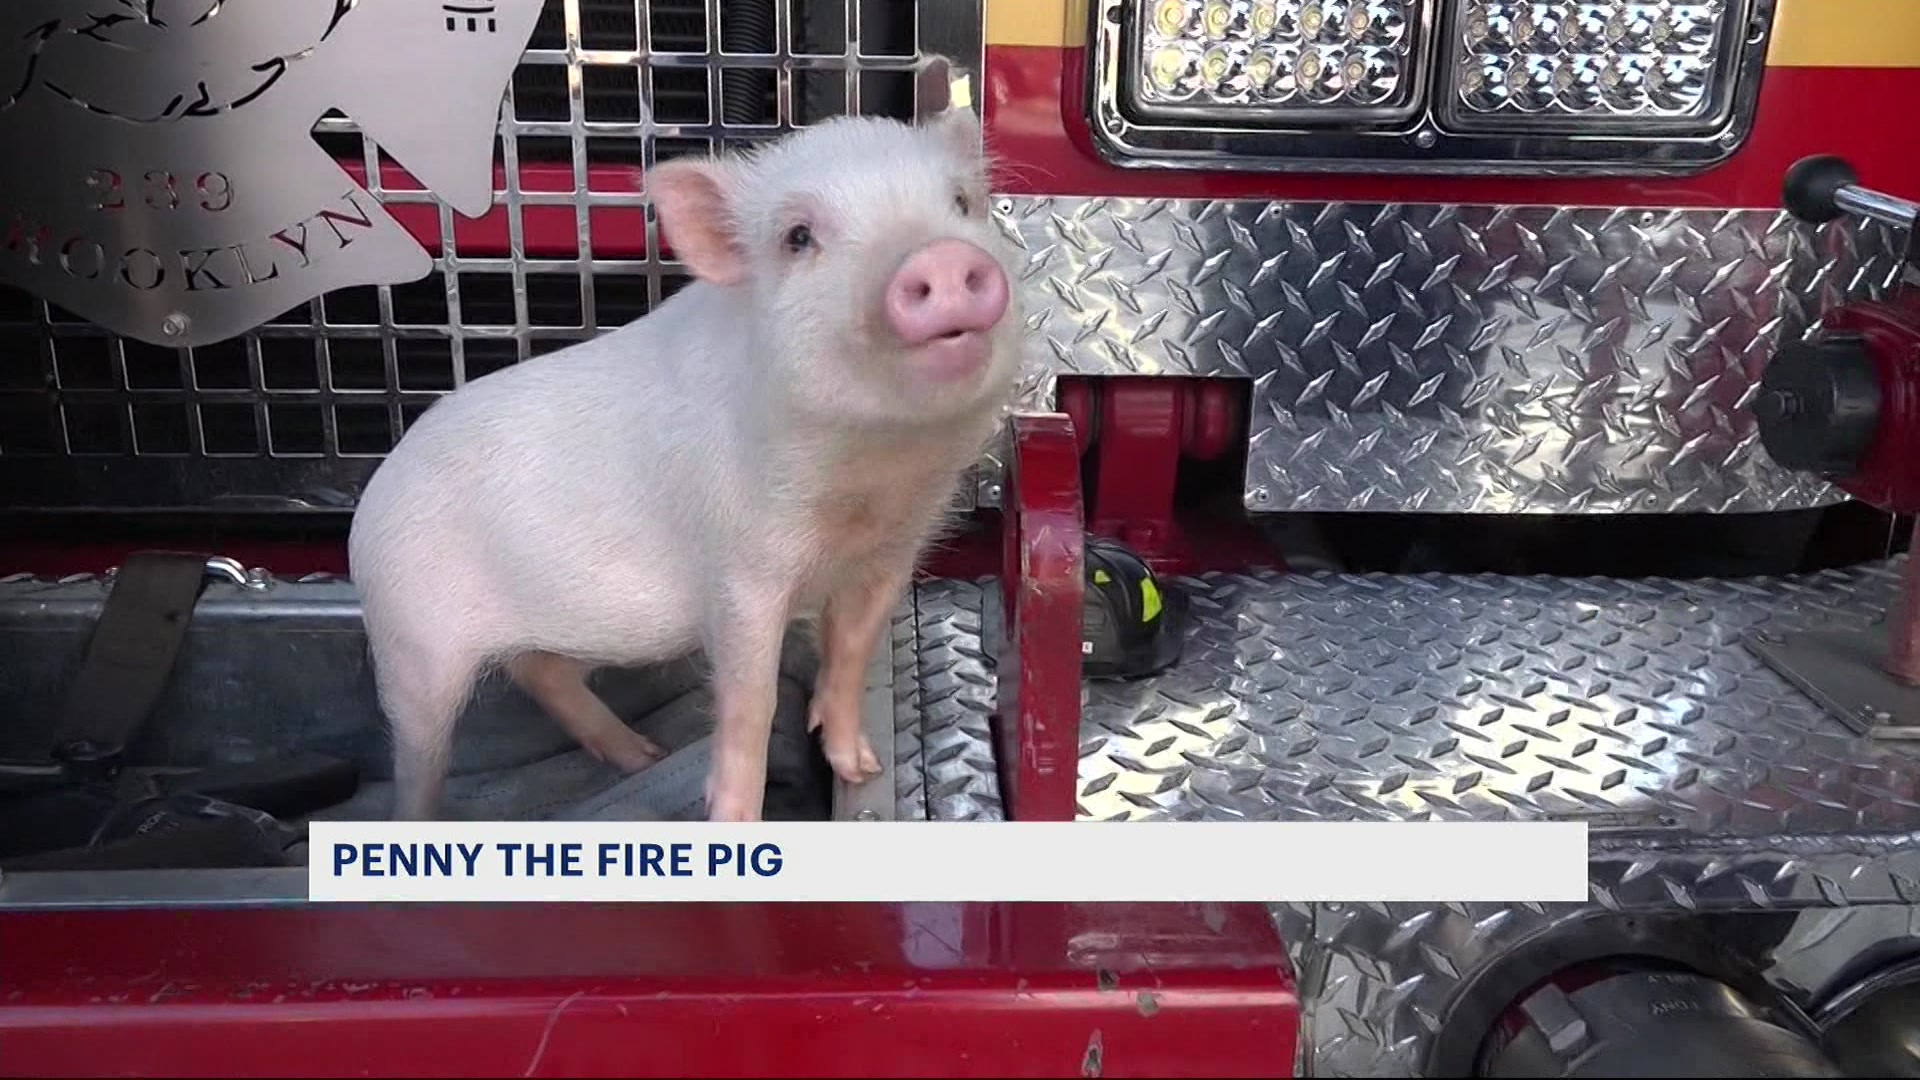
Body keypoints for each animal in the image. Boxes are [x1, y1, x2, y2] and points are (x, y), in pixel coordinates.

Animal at [347, 108, 1024, 823]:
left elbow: (850, 654)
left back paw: (641, 756)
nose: (943, 258)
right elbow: (752, 701)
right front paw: (736, 821)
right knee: (422, 749)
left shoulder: (892, 553)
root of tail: (369, 502)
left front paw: (859, 767)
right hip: (411, 640)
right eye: (798, 237)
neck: (871, 481)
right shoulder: (741, 570)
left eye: (961, 204)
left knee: (541, 672)